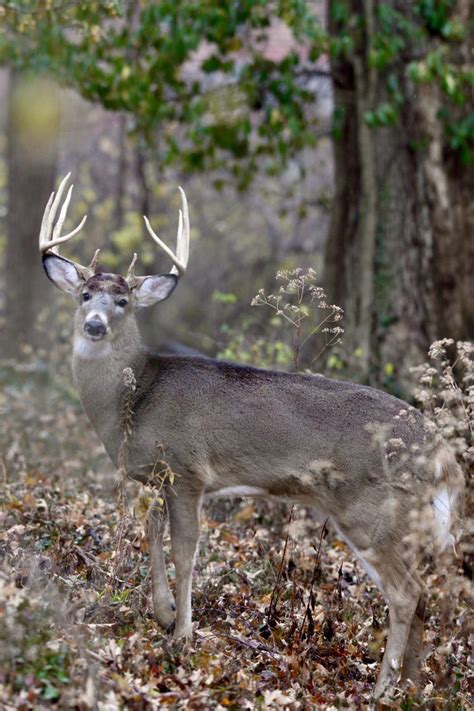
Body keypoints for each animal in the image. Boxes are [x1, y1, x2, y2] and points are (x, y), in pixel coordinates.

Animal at [39, 174, 464, 698]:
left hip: (373, 509)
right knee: (423, 594)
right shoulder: (156, 477)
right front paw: (162, 614)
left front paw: (182, 634)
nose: (95, 324)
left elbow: (185, 550)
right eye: (84, 296)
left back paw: (382, 688)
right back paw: (415, 684)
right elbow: (151, 535)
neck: (134, 403)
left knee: (407, 593)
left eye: (122, 301)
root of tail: (442, 454)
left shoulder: (187, 470)